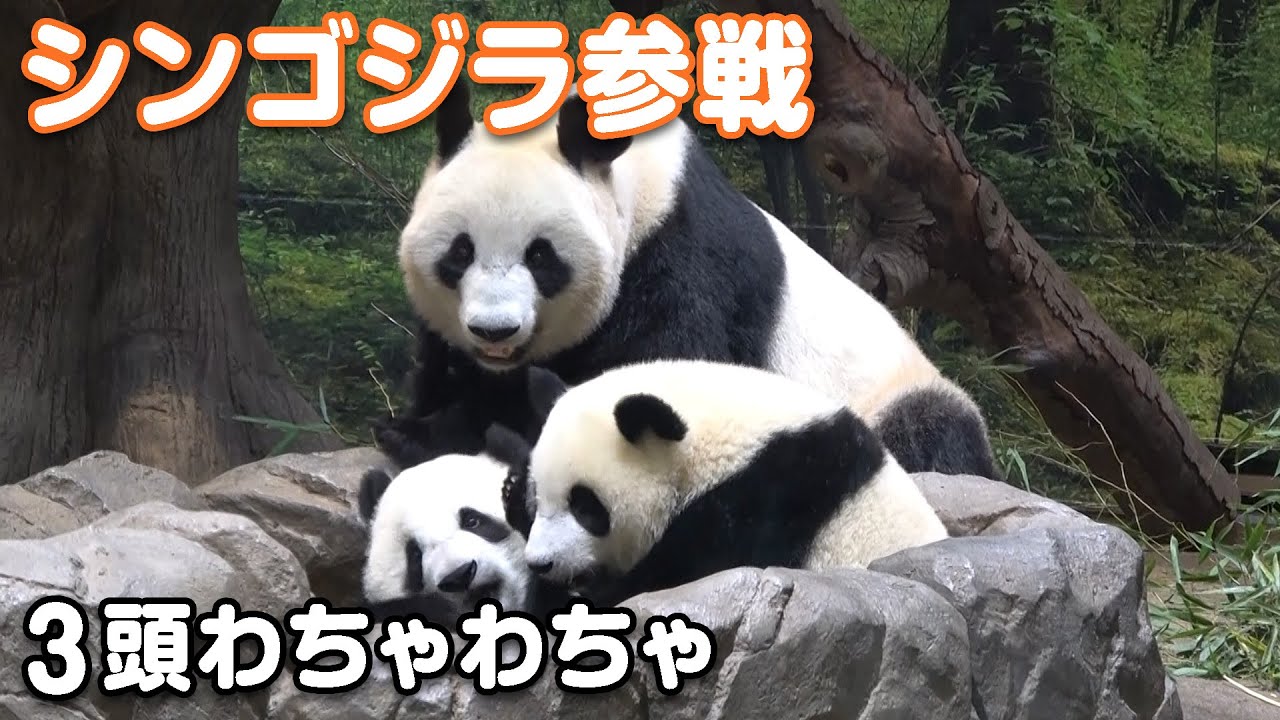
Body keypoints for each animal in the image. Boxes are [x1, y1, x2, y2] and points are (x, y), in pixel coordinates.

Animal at [380, 76, 997, 481]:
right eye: (460, 252)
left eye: (541, 257)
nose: (495, 331)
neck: (641, 186)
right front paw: (423, 420)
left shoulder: (679, 261)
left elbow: (650, 381)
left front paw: (440, 433)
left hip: (895, 393)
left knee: (928, 433)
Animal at [496, 361, 949, 607]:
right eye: (540, 499)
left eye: (585, 506)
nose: (541, 563)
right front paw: (512, 491)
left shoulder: (770, 495)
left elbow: (672, 577)